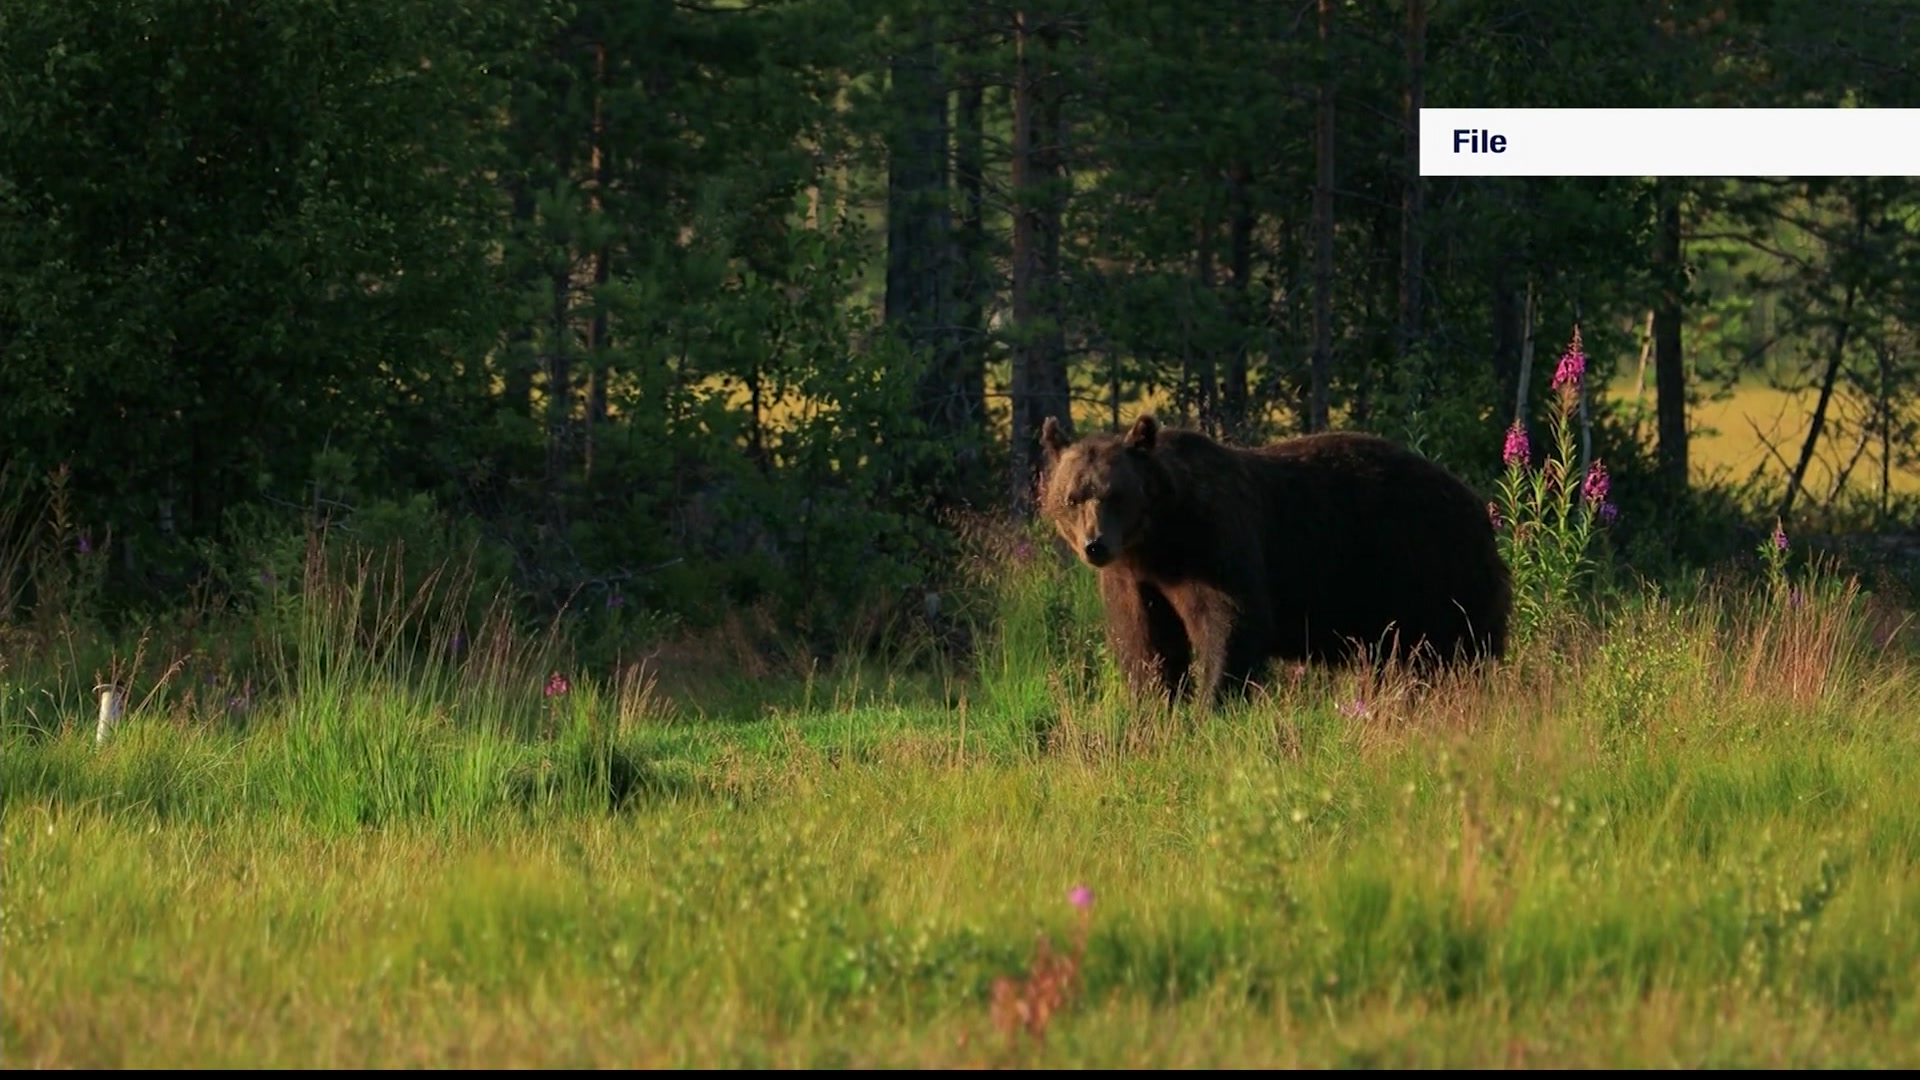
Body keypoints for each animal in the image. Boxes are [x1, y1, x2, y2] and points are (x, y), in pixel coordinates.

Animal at [1037, 413, 1512, 707]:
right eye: (1073, 497)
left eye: (1115, 494)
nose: (1095, 545)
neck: (1160, 541)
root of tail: (1477, 503)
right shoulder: (1134, 579)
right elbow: (1146, 643)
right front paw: (1155, 706)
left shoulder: (1217, 544)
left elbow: (1231, 624)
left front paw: (1211, 703)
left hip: (1432, 571)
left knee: (1457, 650)